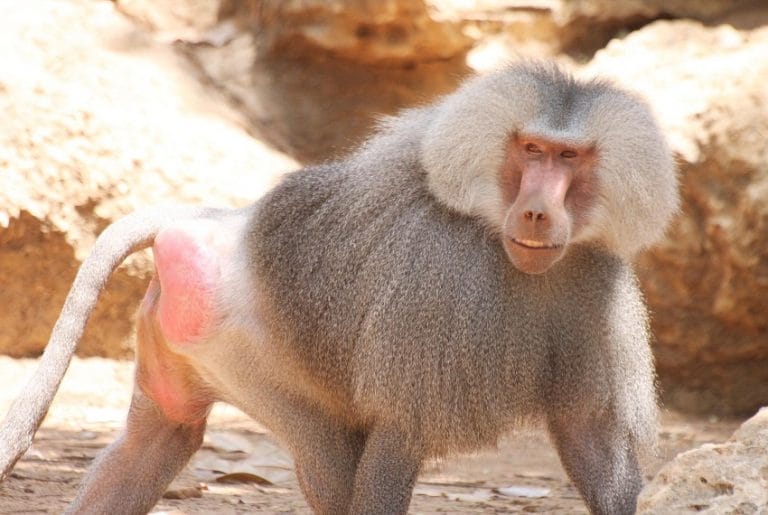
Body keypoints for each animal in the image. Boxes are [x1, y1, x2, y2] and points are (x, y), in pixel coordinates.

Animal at [0, 61, 678, 515]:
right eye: (531, 151)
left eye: (569, 159)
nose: (537, 213)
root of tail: (221, 222)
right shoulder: (434, 294)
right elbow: (397, 434)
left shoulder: (594, 286)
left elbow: (591, 433)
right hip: (244, 348)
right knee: (330, 461)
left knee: (161, 435)